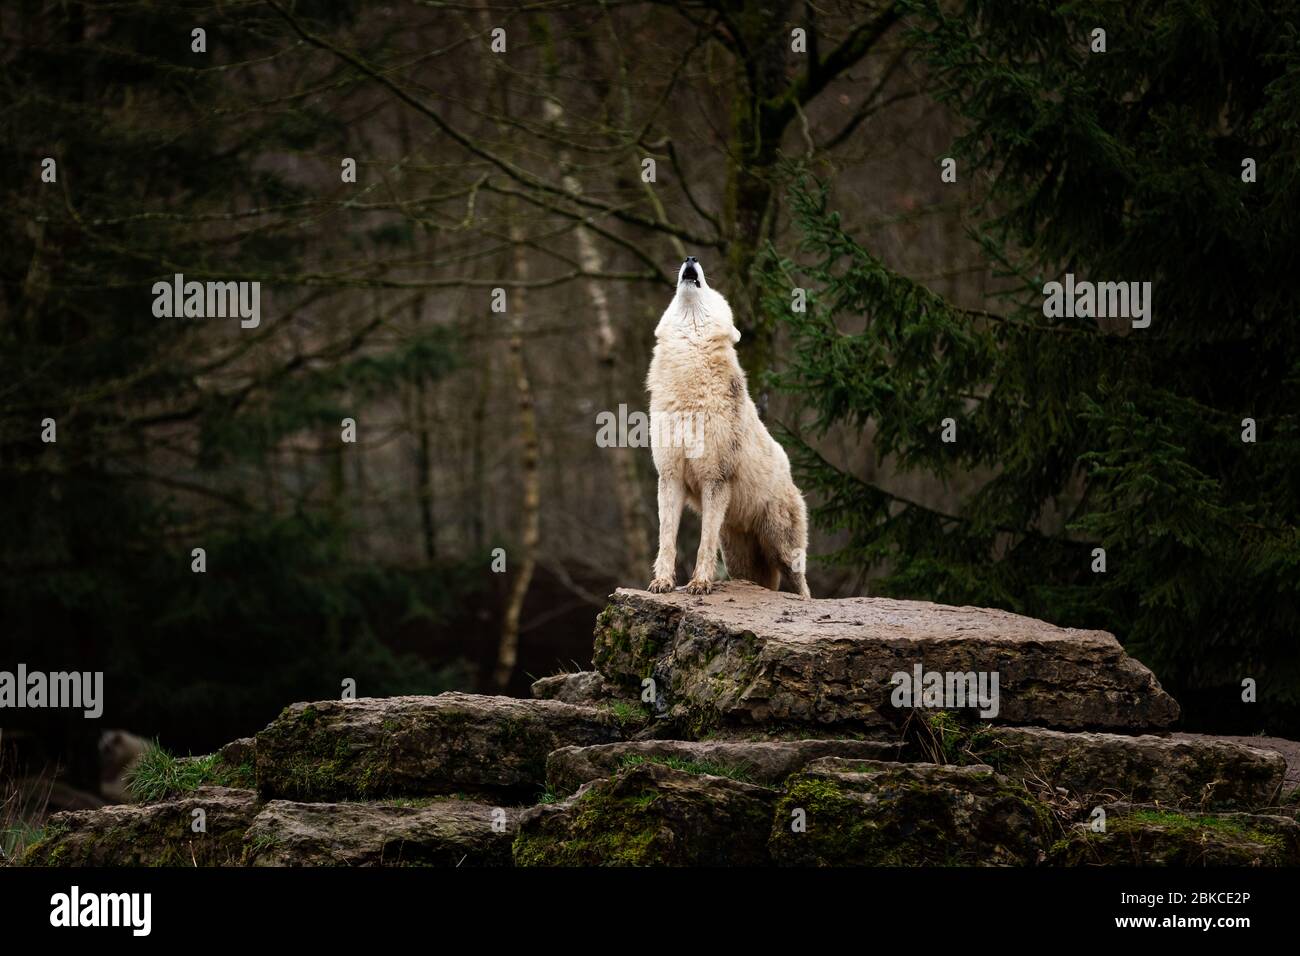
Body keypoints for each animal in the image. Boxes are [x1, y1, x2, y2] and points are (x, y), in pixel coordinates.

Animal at [644, 257, 811, 598]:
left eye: (709, 290)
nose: (691, 259)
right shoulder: (670, 477)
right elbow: (666, 540)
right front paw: (663, 582)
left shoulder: (715, 479)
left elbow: (703, 543)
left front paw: (700, 583)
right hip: (742, 560)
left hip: (784, 548)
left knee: (803, 587)